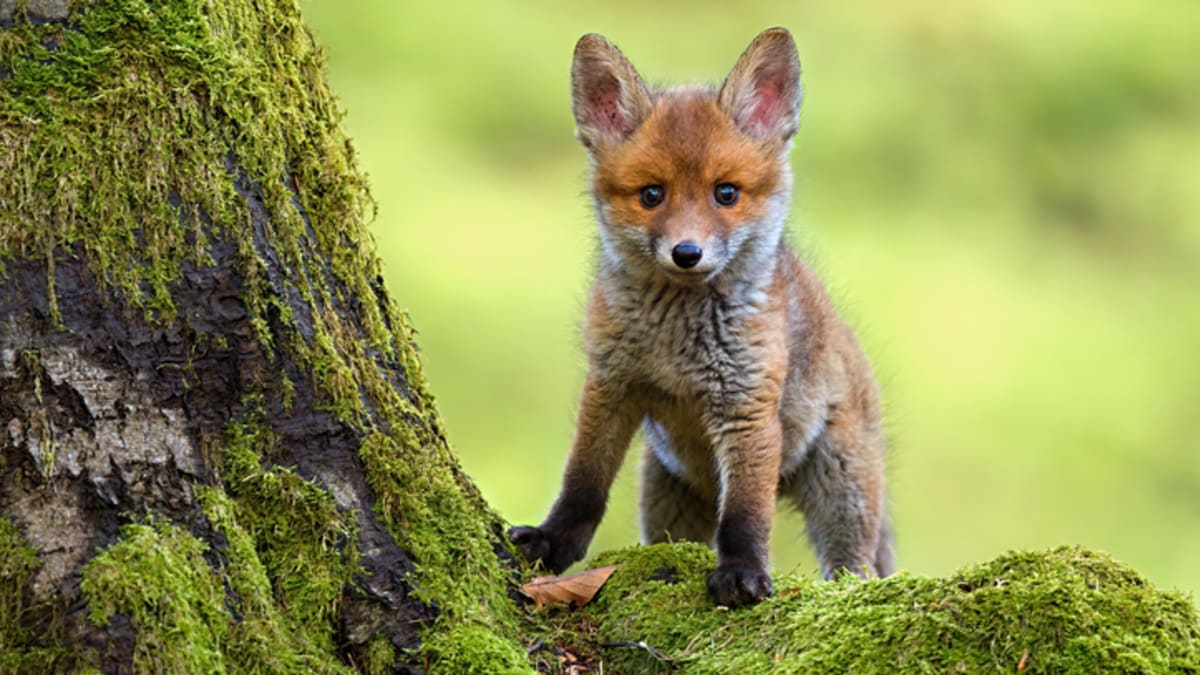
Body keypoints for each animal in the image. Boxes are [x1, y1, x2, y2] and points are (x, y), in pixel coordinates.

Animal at [509, 27, 894, 607]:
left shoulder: (747, 407)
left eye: (726, 193)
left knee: (857, 565)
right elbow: (582, 483)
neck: (675, 346)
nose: (686, 253)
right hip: (665, 494)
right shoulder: (610, 384)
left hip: (840, 487)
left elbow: (745, 515)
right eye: (651, 194)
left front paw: (742, 573)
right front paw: (553, 541)